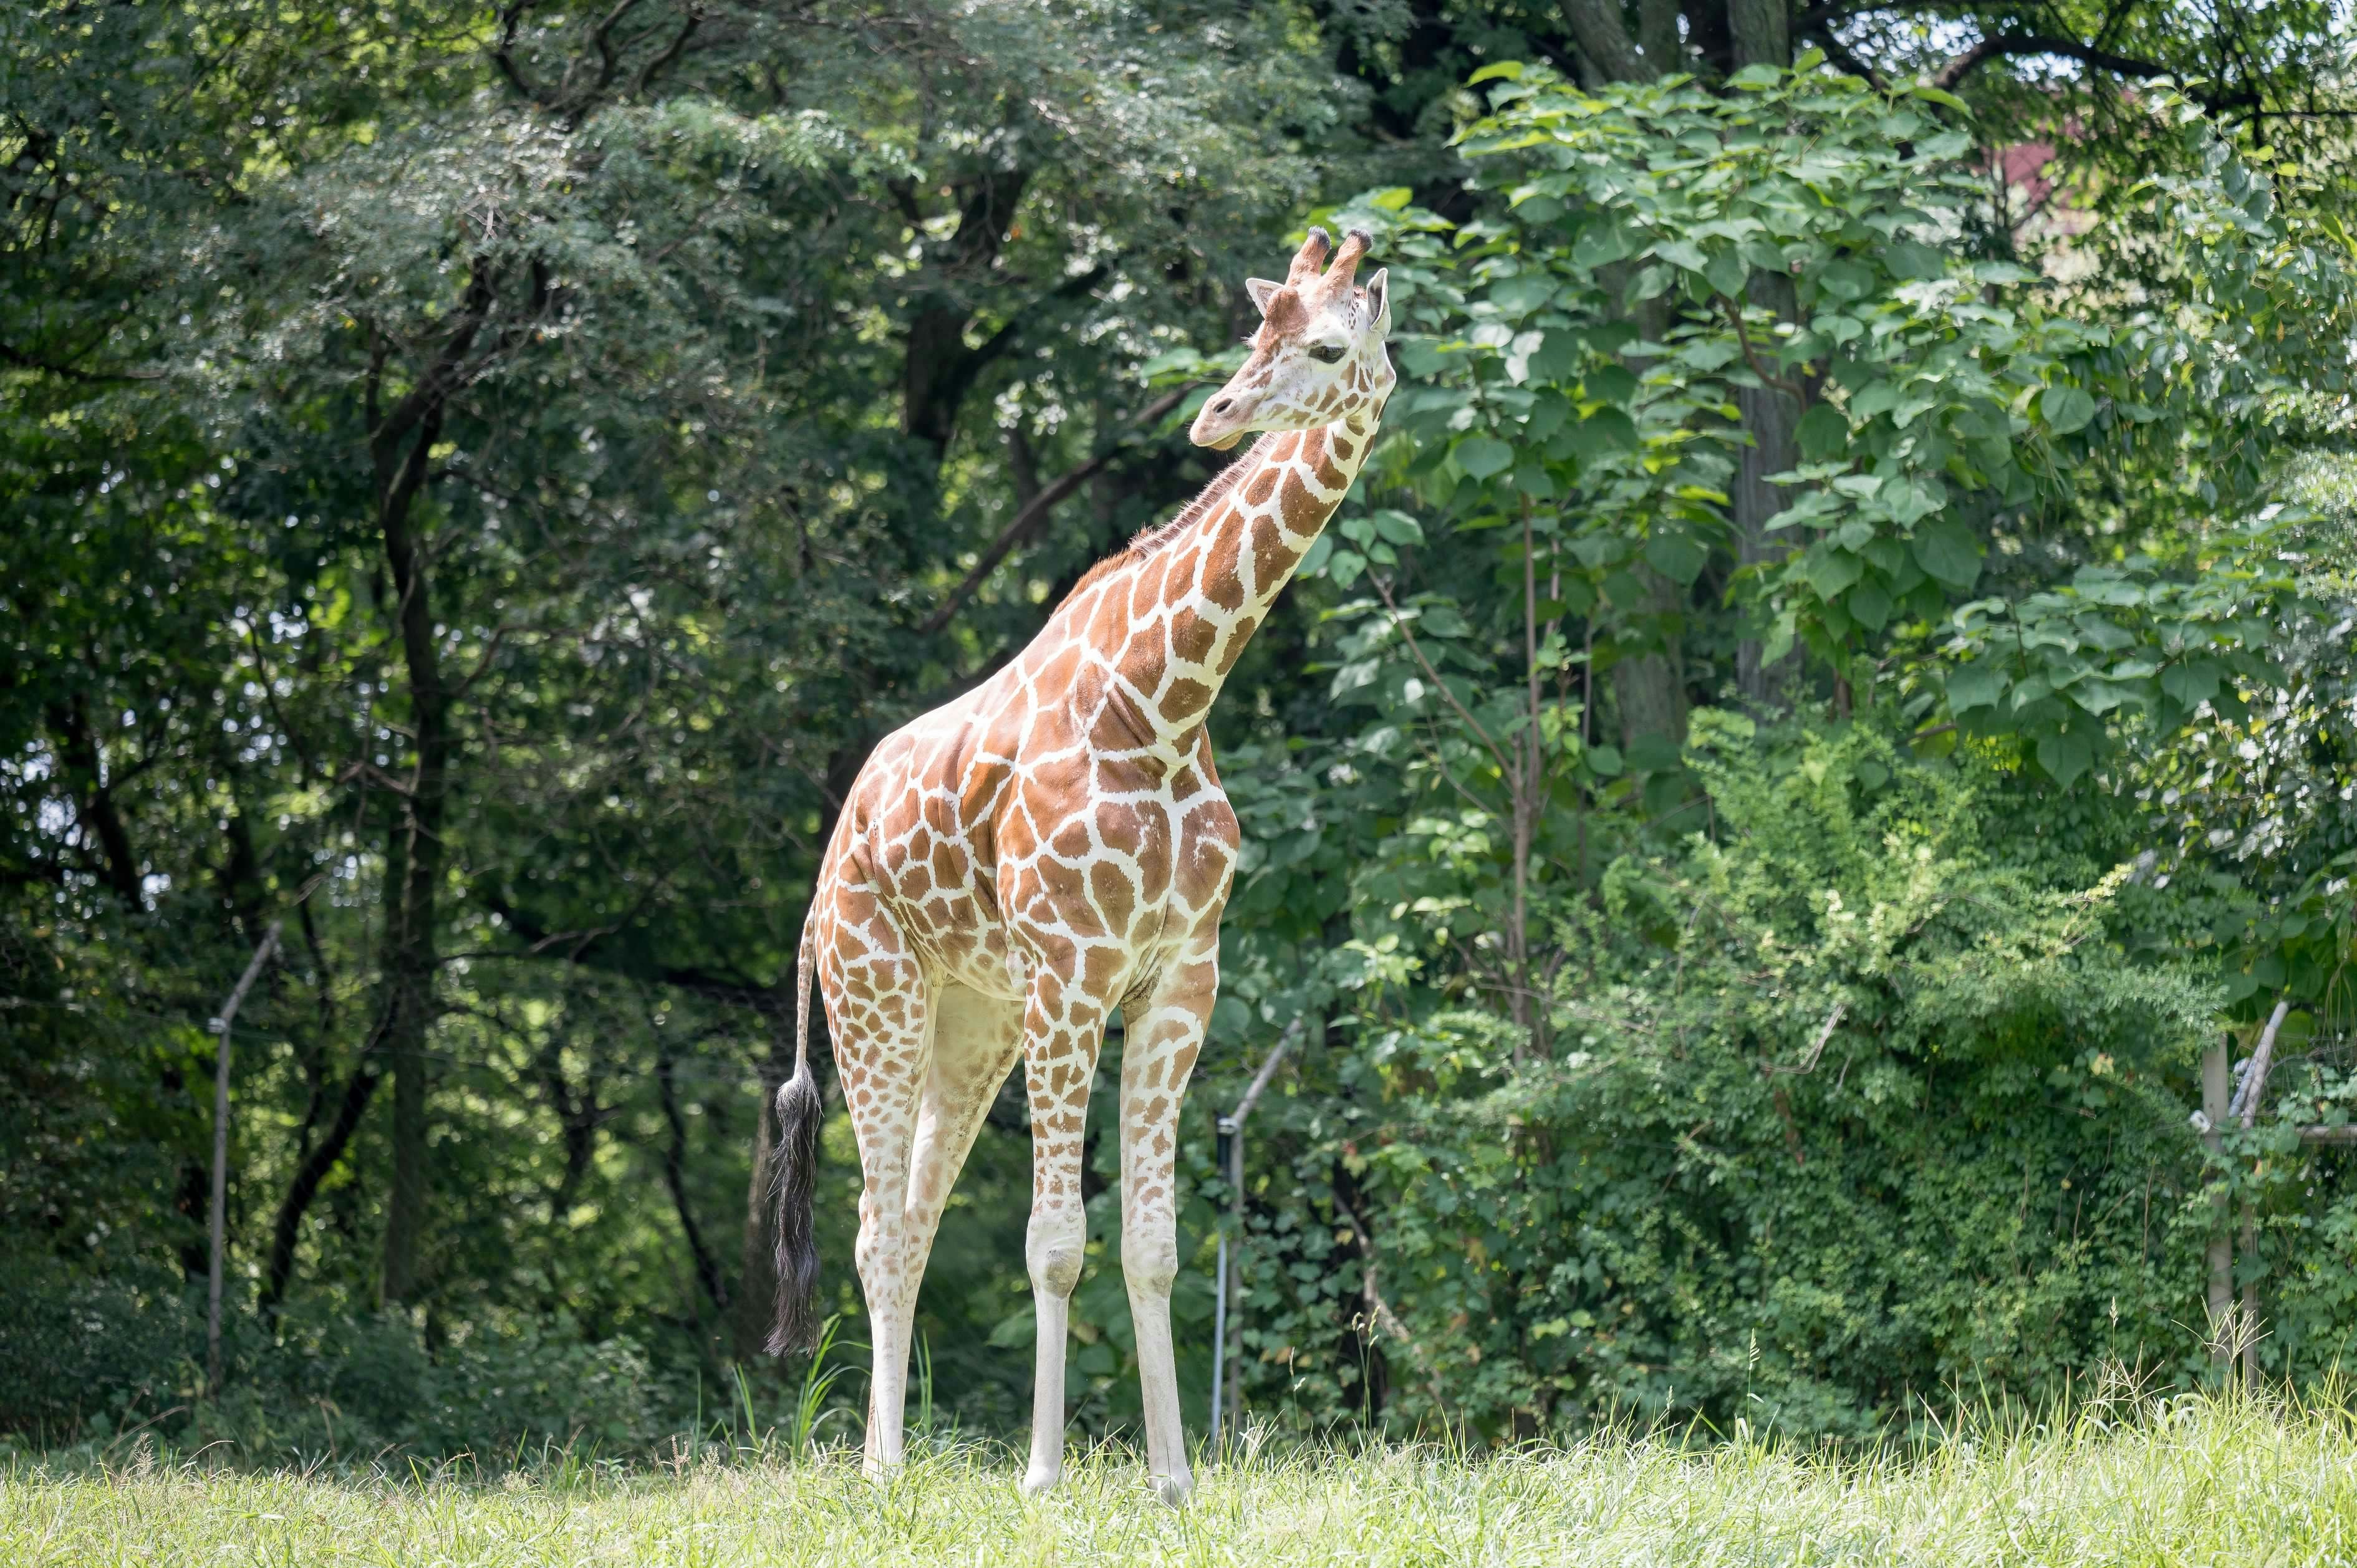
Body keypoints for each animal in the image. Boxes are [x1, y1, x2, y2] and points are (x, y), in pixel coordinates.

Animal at [764, 226, 1394, 1504]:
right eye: (1254, 331)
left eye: (1325, 345)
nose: (1217, 413)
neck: (1164, 702)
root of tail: (822, 884)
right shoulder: (1072, 975)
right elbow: (1055, 1245)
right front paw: (1045, 1477)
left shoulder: (1177, 983)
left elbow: (1154, 1247)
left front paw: (1174, 1480)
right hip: (877, 994)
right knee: (872, 1228)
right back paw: (883, 1471)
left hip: (975, 1021)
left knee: (911, 1219)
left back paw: (887, 1458)